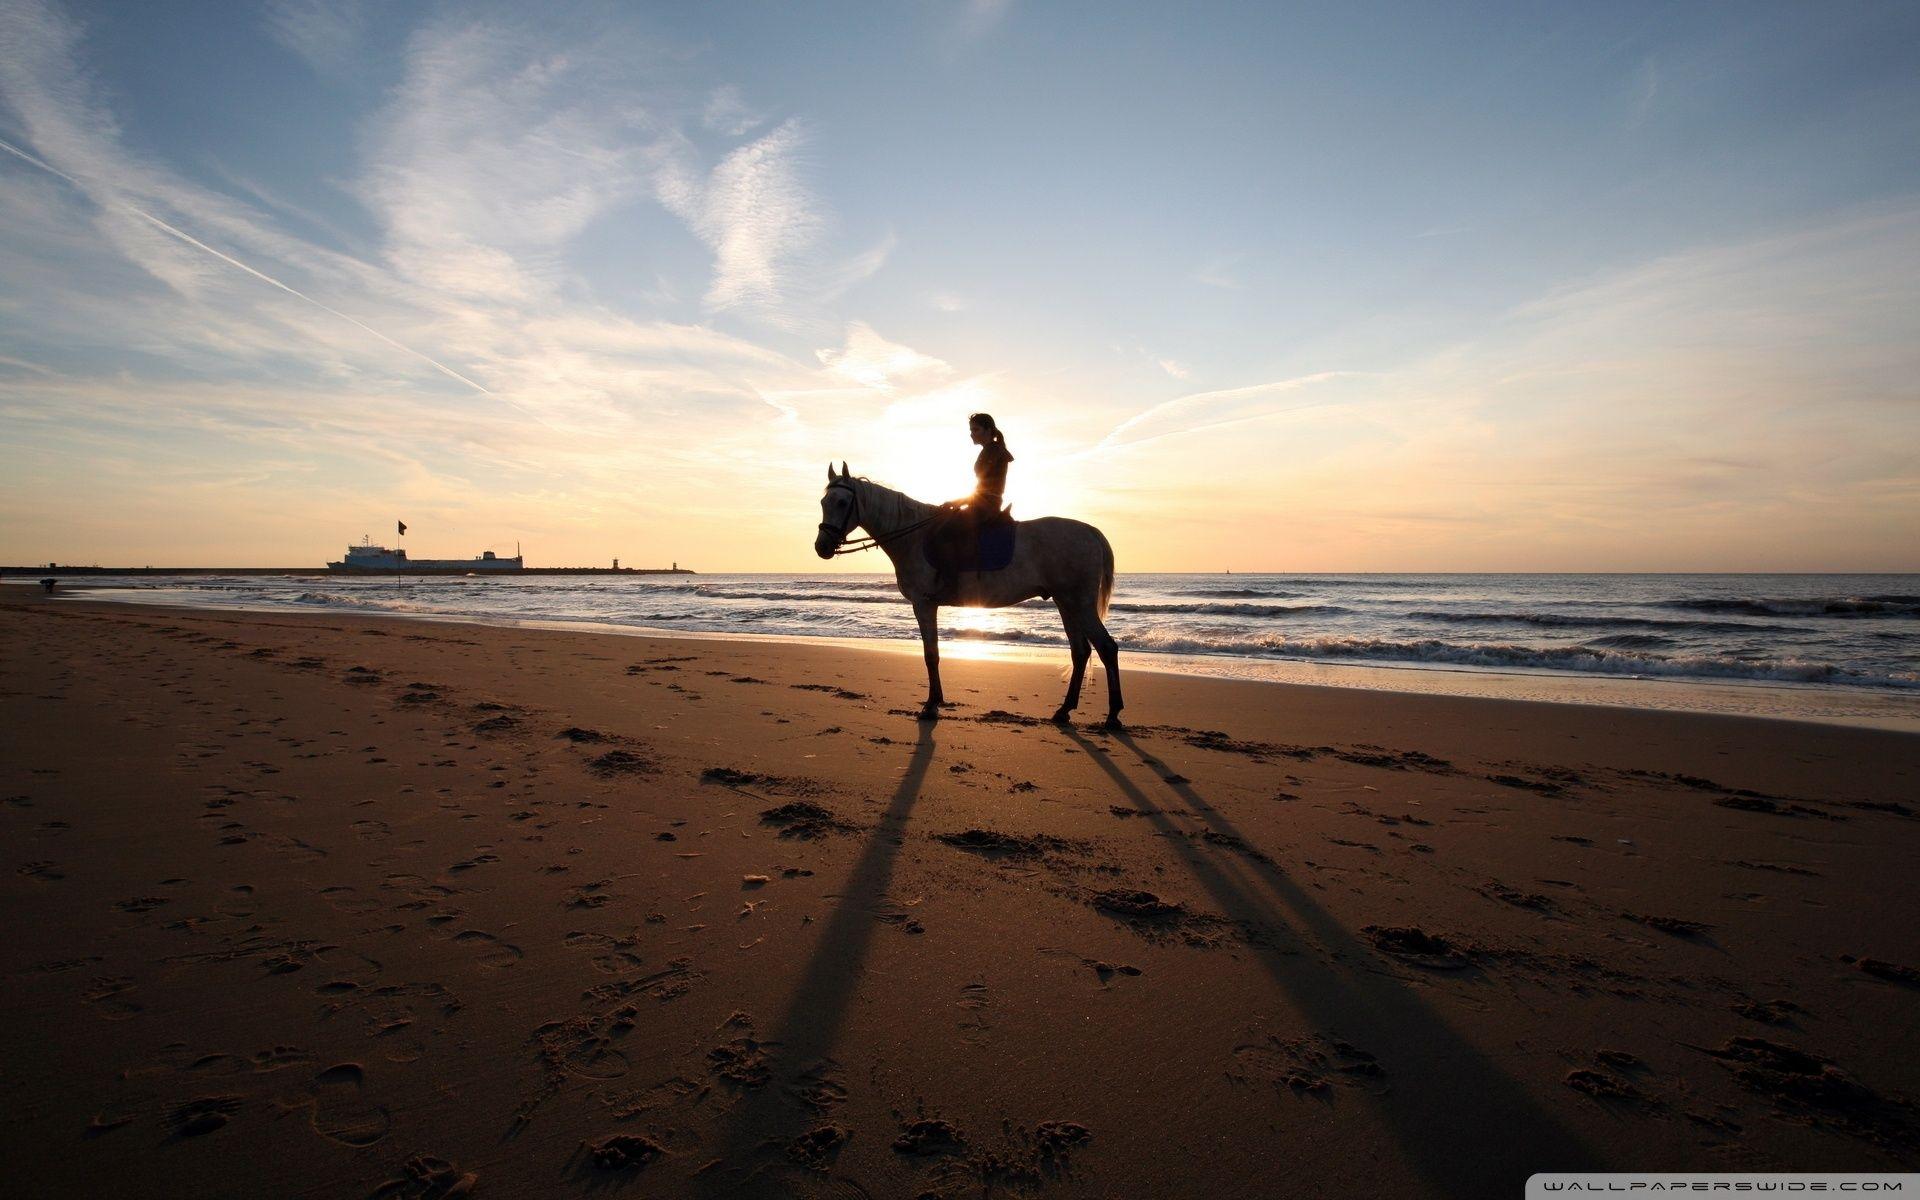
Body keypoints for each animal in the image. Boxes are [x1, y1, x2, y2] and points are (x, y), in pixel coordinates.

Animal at [813, 463, 1124, 727]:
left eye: (842, 502)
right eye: (823, 502)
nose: (822, 547)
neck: (913, 537)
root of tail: (1091, 532)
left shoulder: (923, 604)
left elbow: (931, 655)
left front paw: (931, 706)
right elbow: (933, 653)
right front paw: (935, 701)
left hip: (1079, 603)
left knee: (1106, 648)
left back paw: (1113, 716)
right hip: (1065, 602)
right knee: (1080, 652)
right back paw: (1064, 711)